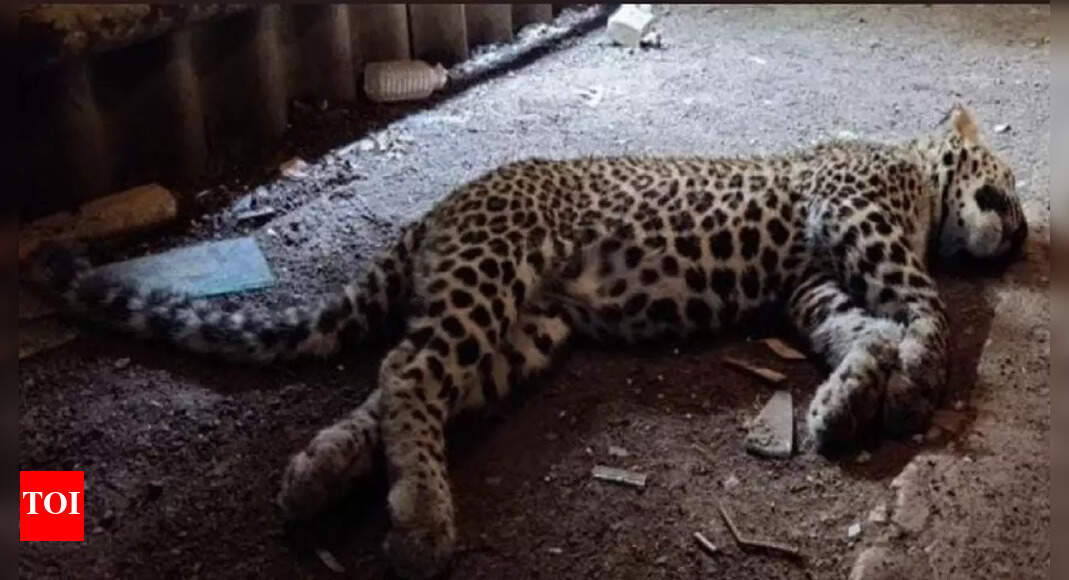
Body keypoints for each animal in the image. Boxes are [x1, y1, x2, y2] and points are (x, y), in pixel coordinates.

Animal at [26, 105, 1027, 579]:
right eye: (1009, 182)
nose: (1019, 237)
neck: (913, 173)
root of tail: (441, 208)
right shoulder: (858, 225)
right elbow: (926, 310)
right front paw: (911, 383)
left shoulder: (809, 283)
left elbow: (861, 329)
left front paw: (847, 398)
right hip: (493, 278)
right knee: (406, 368)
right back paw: (421, 524)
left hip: (525, 330)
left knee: (403, 388)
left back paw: (319, 476)